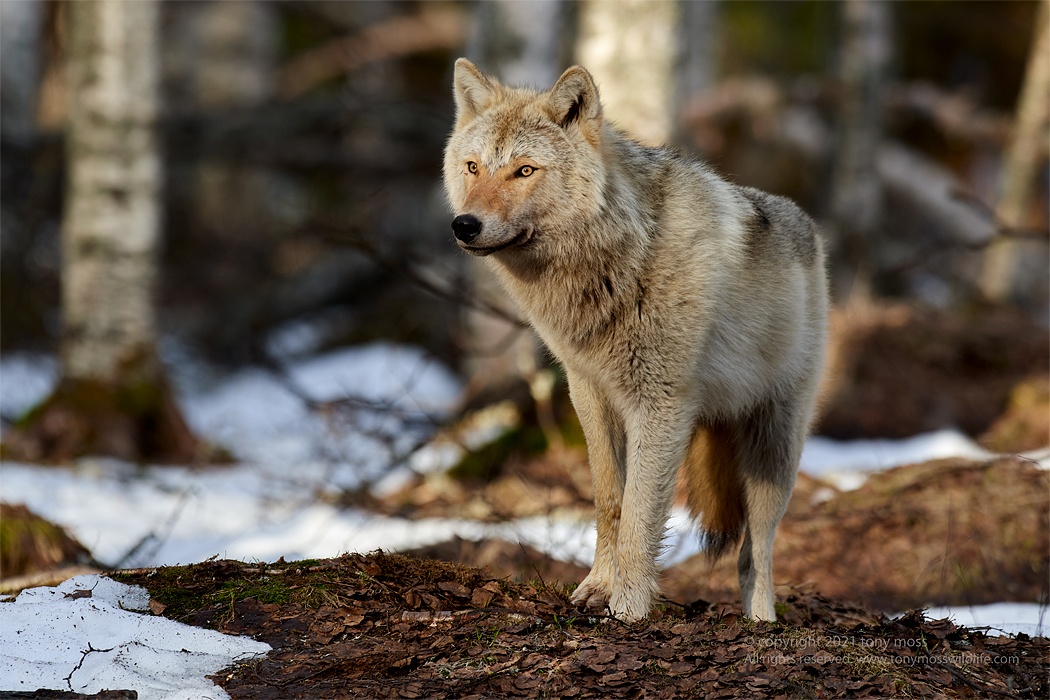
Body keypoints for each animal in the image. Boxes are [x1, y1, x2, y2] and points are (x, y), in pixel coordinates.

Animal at [443, 58, 828, 622]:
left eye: (525, 171)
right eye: (473, 167)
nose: (464, 225)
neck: (622, 258)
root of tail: (812, 233)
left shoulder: (660, 406)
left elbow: (642, 517)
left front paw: (627, 609)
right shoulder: (590, 394)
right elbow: (611, 503)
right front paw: (596, 589)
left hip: (774, 449)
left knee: (755, 551)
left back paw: (761, 622)